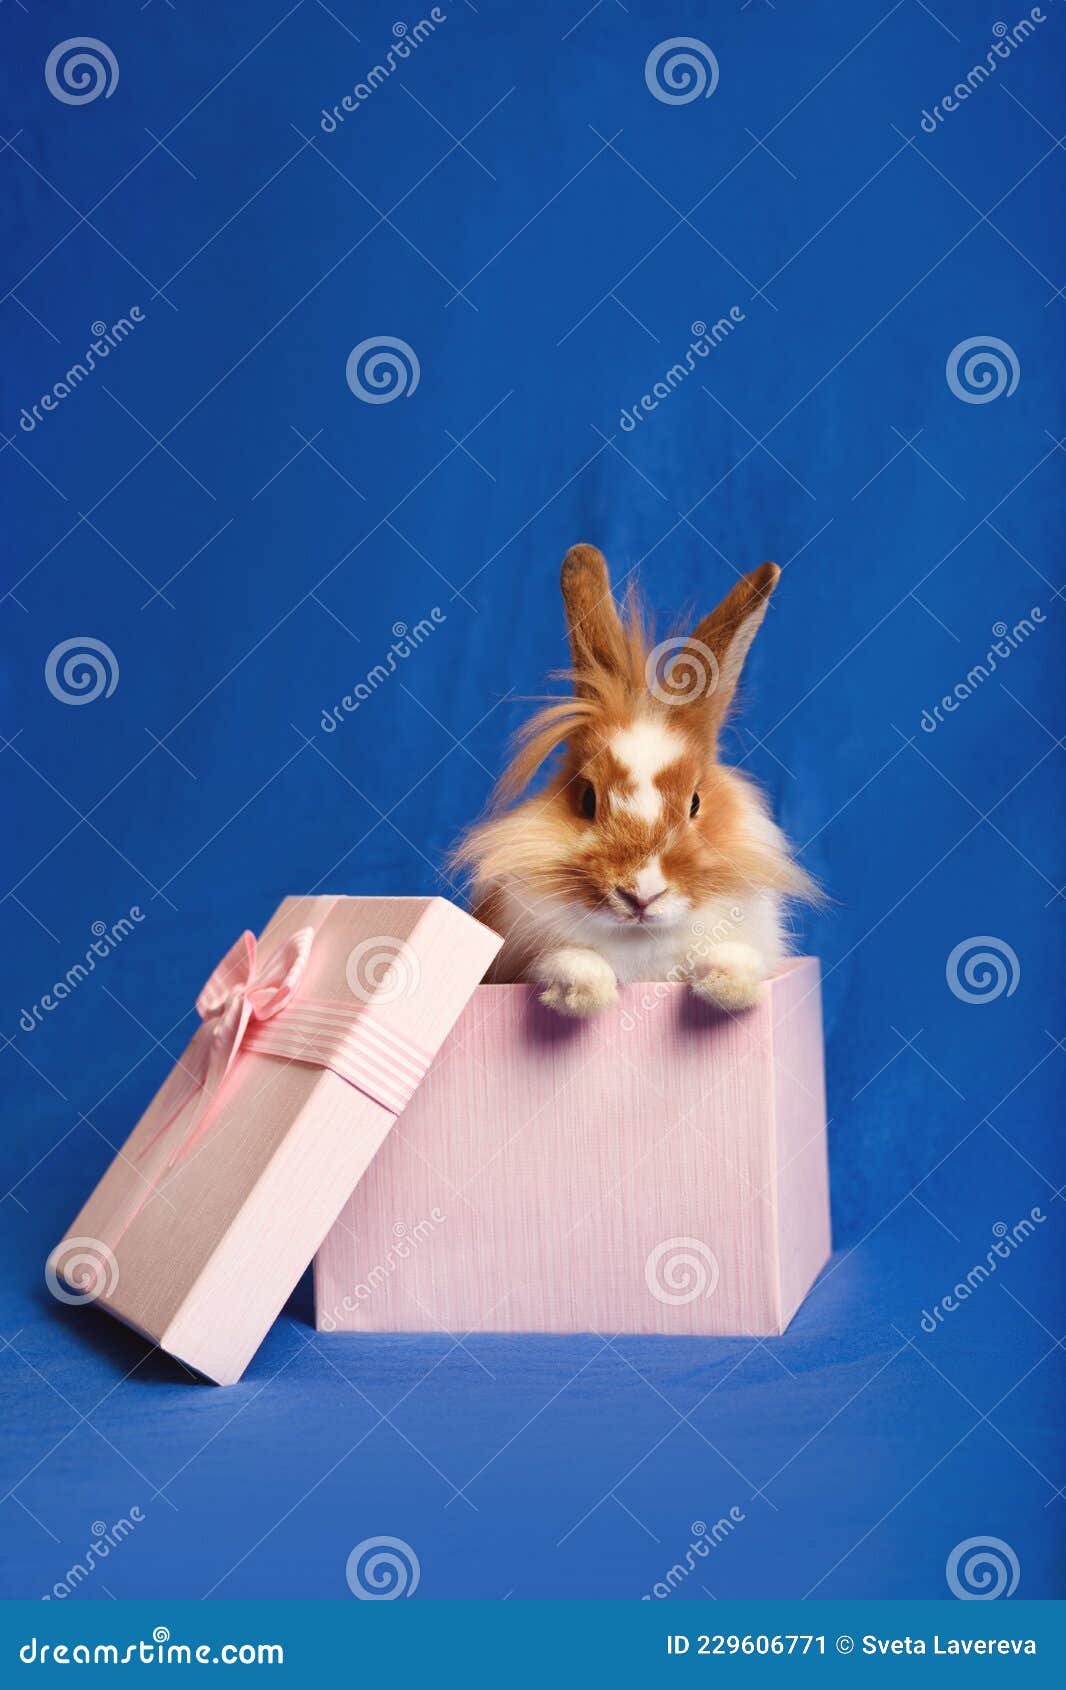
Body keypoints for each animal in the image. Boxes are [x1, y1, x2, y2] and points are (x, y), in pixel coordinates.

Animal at [453, 544, 816, 1016]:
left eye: (695, 802)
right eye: (587, 800)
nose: (640, 896)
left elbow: (736, 955)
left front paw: (727, 988)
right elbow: (567, 958)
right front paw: (583, 995)